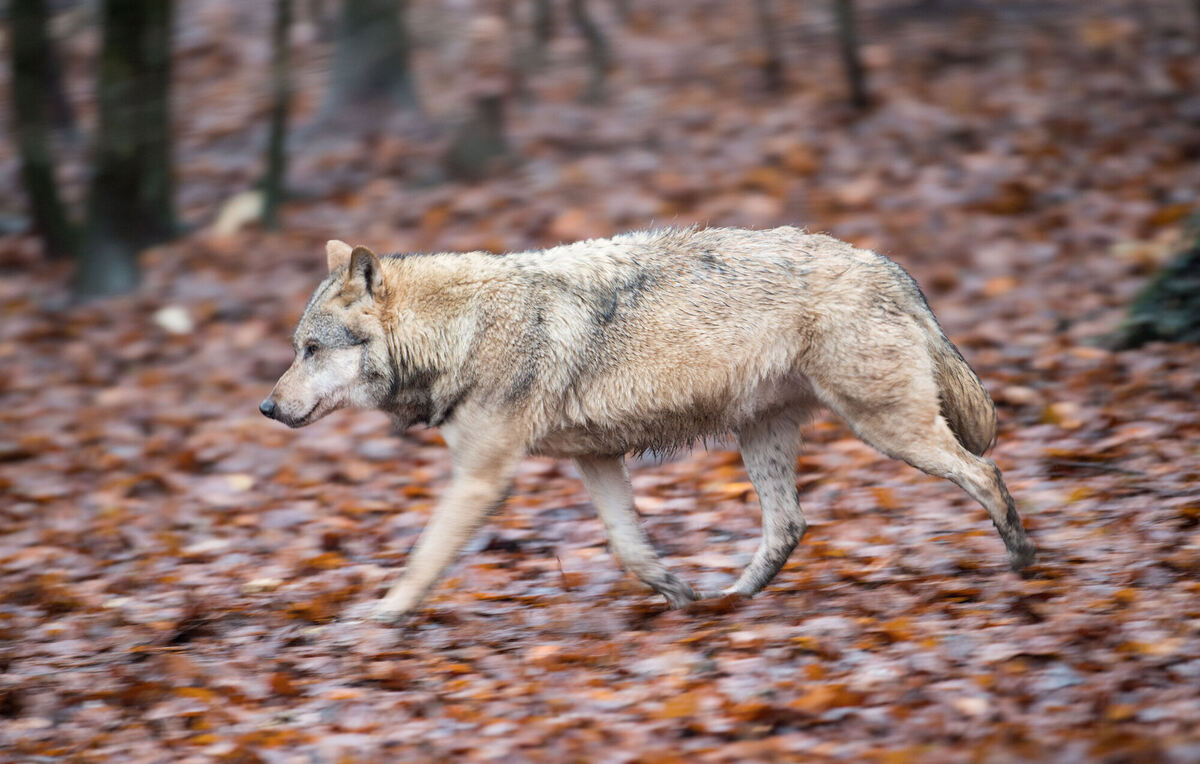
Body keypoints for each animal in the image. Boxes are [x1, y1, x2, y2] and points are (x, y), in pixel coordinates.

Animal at [260, 227, 1035, 624]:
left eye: (310, 350)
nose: (266, 408)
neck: (463, 329)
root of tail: (888, 264)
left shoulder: (483, 476)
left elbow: (422, 560)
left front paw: (378, 620)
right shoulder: (595, 461)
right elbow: (629, 549)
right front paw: (677, 592)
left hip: (886, 429)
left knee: (988, 471)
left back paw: (1024, 561)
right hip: (764, 437)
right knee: (789, 526)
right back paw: (730, 599)